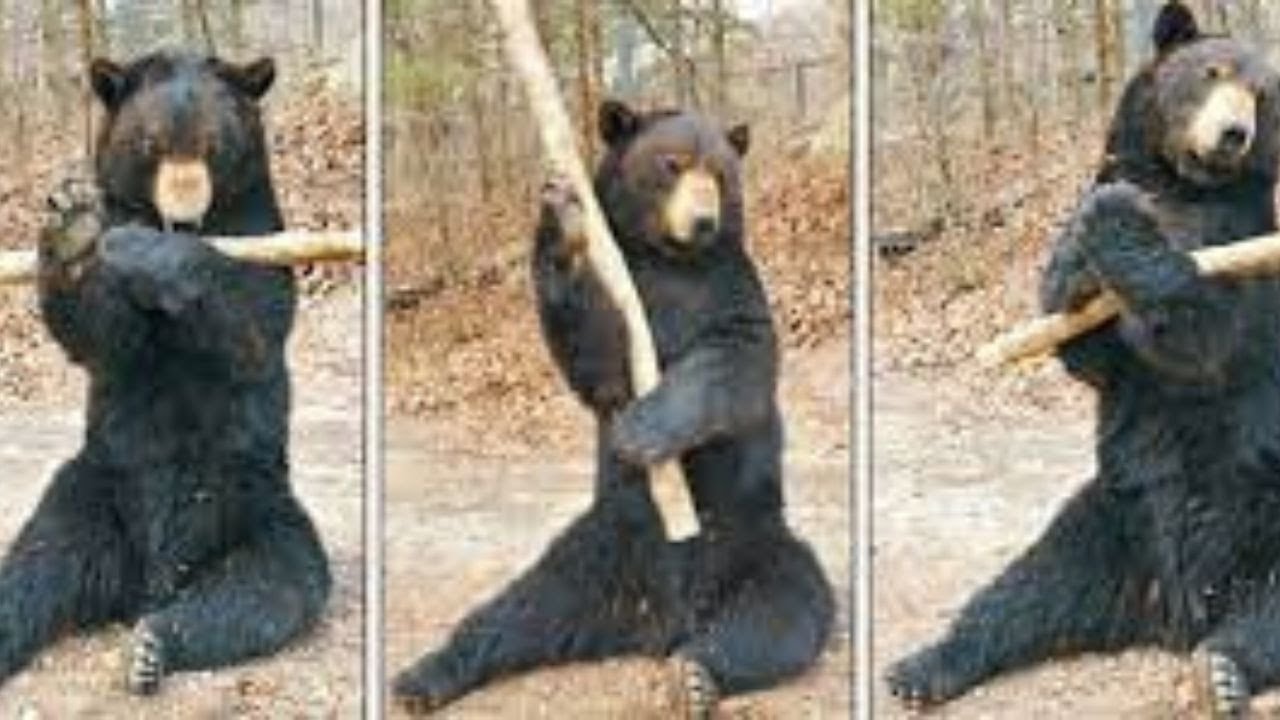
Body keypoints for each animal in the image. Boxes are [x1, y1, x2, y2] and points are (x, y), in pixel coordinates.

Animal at [12, 50, 330, 696]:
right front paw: (71, 233)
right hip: (92, 490)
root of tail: (147, 582)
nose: (183, 218)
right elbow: (106, 335)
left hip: (257, 507)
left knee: (271, 586)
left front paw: (151, 251)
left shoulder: (260, 229)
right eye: (151, 143)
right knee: (34, 566)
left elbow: (253, 327)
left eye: (212, 145)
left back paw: (154, 646)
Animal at [392, 100, 834, 716]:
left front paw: (640, 431)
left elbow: (734, 361)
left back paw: (695, 675)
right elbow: (594, 355)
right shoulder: (625, 292)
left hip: (754, 546)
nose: (704, 221)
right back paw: (423, 676)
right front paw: (561, 213)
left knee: (779, 613)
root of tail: (663, 619)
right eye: (673, 164)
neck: (668, 258)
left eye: (720, 175)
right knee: (517, 610)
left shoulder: (729, 286)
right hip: (602, 546)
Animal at [887, 3, 1280, 716]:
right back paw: (921, 666)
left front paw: (1120, 230)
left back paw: (1224, 669)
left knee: (1271, 612)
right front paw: (1079, 259)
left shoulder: (1241, 239)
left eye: (1262, 97)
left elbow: (1207, 339)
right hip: (1110, 517)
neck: (1182, 184)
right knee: (1024, 590)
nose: (1234, 134)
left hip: (1263, 509)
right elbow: (1087, 347)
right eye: (1212, 73)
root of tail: (1176, 610)